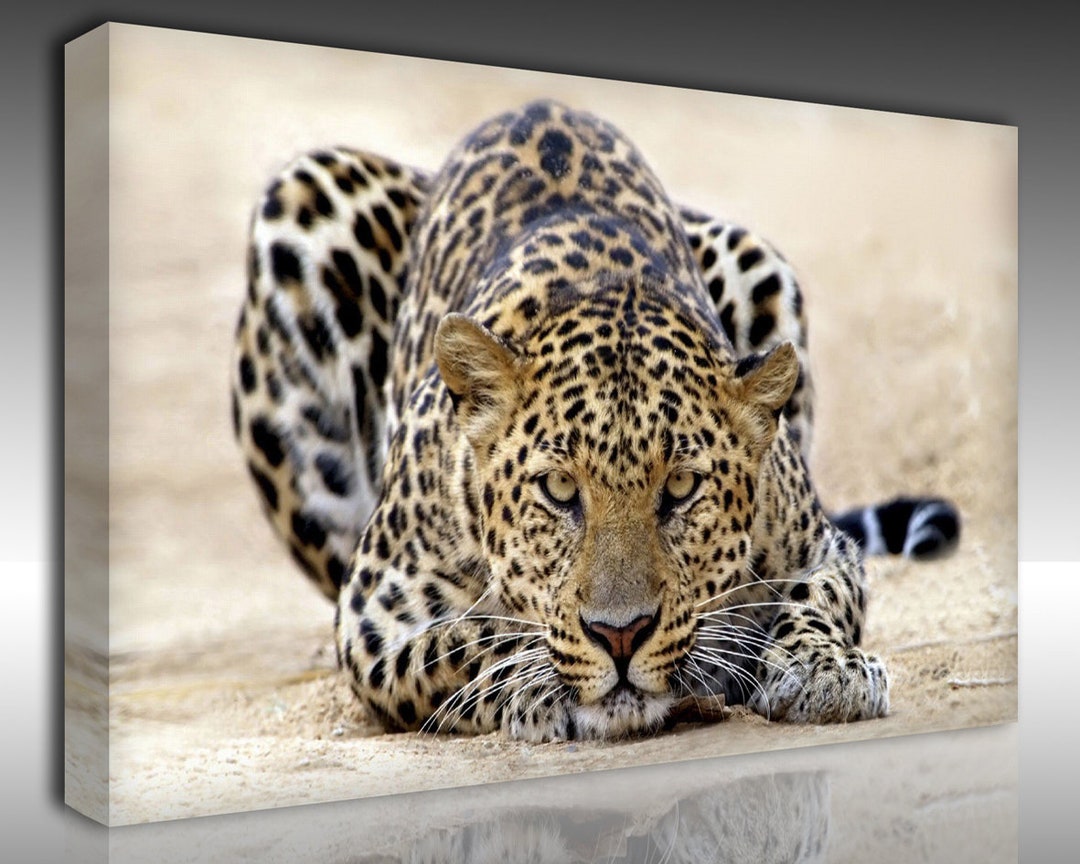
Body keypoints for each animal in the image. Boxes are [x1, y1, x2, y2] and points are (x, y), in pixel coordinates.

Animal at [230, 100, 960, 742]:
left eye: (681, 488)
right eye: (558, 490)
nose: (621, 634)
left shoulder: (821, 545)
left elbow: (820, 598)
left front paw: (823, 668)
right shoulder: (375, 617)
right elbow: (470, 637)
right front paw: (537, 680)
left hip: (755, 256)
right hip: (305, 200)